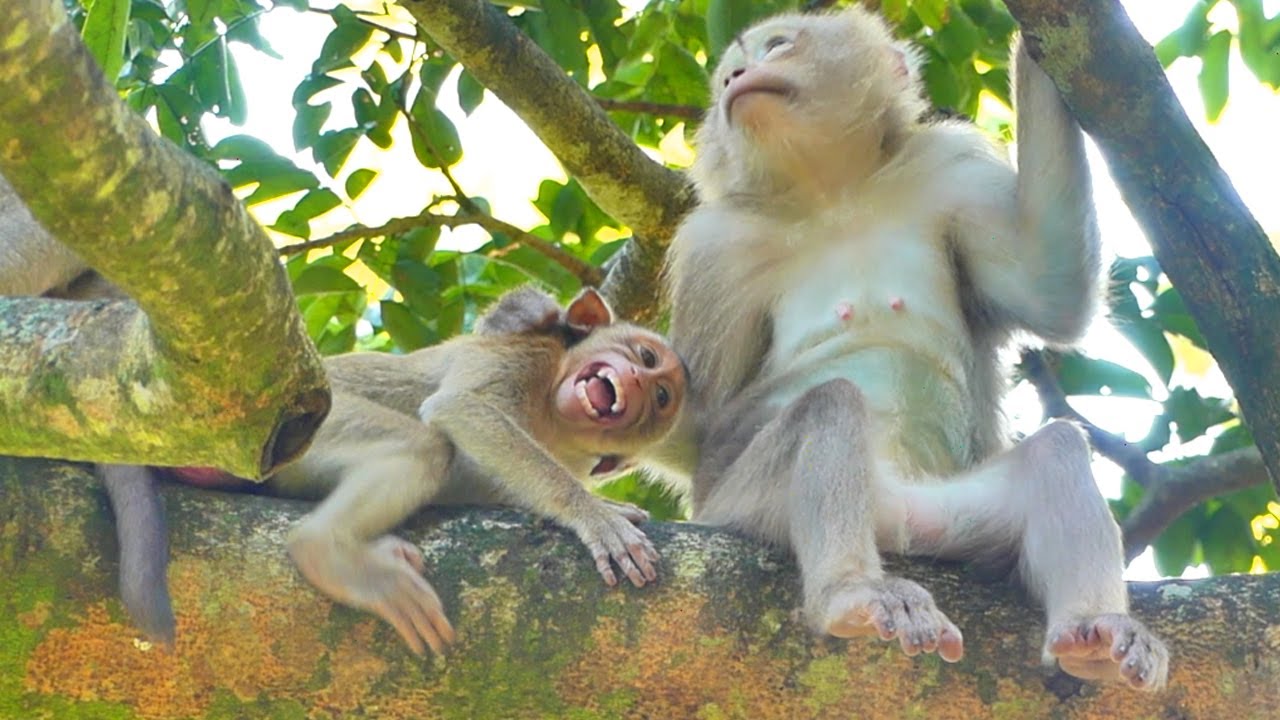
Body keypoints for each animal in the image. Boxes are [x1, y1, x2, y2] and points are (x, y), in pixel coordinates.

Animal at [662, 9, 1169, 691]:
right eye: (724, 79)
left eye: (777, 46)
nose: (737, 79)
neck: (832, 191)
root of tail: (898, 519)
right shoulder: (715, 249)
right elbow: (701, 423)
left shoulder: (946, 166)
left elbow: (1052, 291)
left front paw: (1041, 44)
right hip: (750, 506)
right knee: (830, 405)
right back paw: (850, 594)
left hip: (954, 519)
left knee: (1056, 451)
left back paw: (1096, 631)